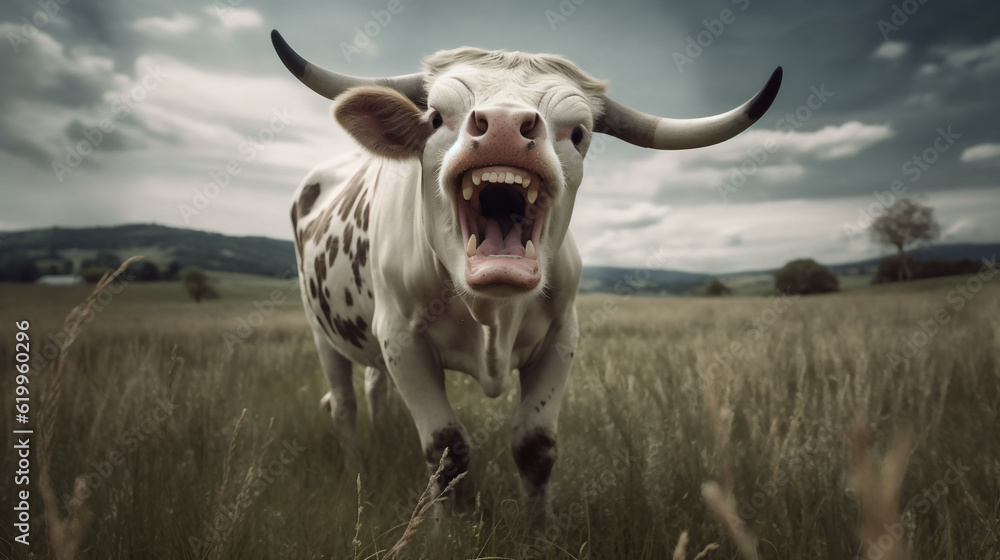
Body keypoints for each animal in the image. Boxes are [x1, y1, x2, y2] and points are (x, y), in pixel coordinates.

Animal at [271, 29, 781, 520]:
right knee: (342, 403)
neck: (492, 314)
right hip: (322, 331)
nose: (503, 125)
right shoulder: (401, 338)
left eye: (578, 132)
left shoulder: (561, 337)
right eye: (435, 118)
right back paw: (358, 467)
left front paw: (539, 530)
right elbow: (446, 450)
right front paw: (445, 531)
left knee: (373, 388)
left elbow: (535, 446)